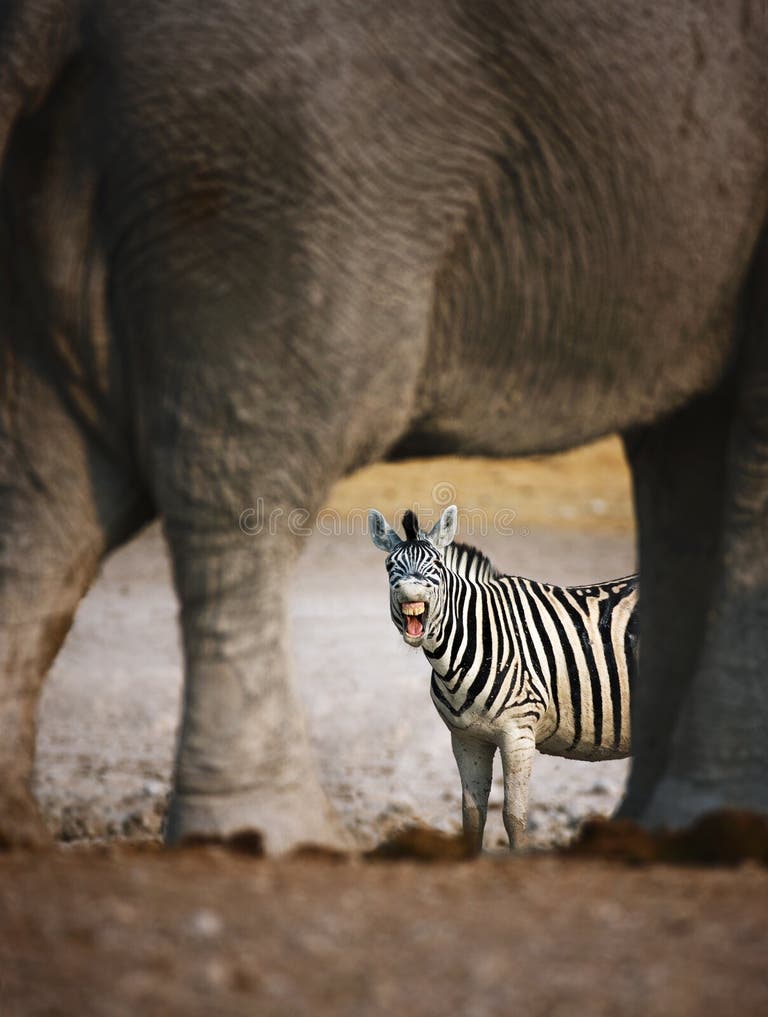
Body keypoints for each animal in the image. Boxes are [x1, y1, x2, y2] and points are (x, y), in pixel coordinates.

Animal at [368, 504, 638, 852]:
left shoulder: (519, 735)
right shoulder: (466, 739)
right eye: (390, 566)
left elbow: (514, 816)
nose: (410, 592)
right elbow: (472, 817)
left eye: (437, 566)